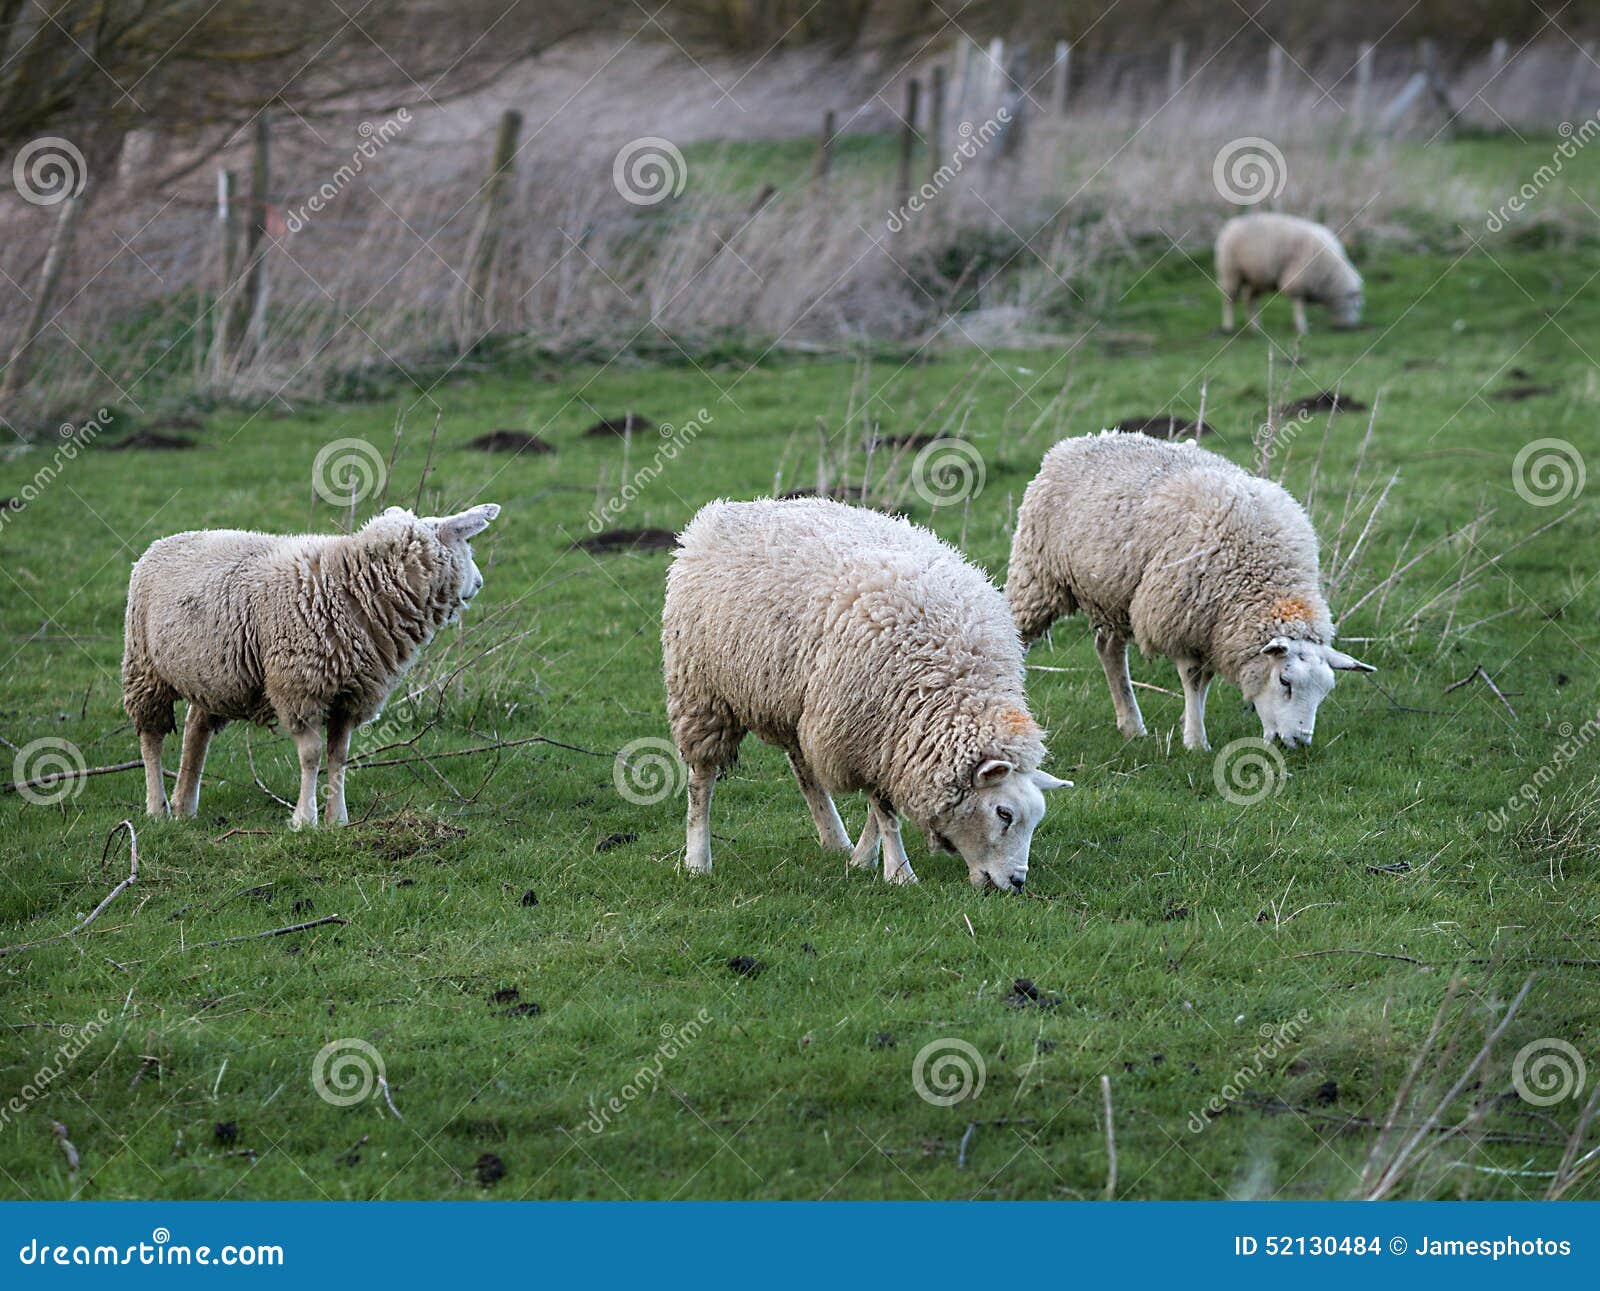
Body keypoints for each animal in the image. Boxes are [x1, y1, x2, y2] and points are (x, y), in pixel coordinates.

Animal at [122, 504, 500, 828]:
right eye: (465, 544)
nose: (481, 582)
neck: (355, 586)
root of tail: (162, 542)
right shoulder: (300, 689)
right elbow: (312, 755)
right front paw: (306, 819)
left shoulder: (351, 694)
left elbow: (339, 755)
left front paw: (338, 818)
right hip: (144, 666)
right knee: (151, 737)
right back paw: (157, 806)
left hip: (214, 674)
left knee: (195, 730)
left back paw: (184, 805)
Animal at [662, 497, 1070, 890]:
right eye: (1004, 813)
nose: (1017, 883)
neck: (958, 678)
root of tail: (727, 510)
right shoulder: (868, 731)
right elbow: (884, 809)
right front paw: (900, 874)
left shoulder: (890, 739)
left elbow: (880, 805)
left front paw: (863, 859)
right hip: (702, 693)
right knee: (701, 781)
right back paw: (697, 861)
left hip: (795, 700)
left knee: (803, 768)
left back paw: (834, 838)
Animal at [1006, 433, 1373, 751]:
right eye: (1285, 682)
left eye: (1324, 692)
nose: (1297, 743)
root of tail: (1078, 441)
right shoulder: (1183, 618)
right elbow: (1195, 679)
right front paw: (1196, 741)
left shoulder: (1212, 626)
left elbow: (1204, 680)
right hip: (1038, 576)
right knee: (1018, 638)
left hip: (1115, 592)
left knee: (1109, 649)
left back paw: (1132, 725)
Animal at [1215, 213, 1363, 336]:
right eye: (1356, 307)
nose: (1350, 327)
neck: (1330, 276)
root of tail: (1230, 225)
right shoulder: (1297, 280)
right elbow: (1299, 306)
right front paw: (1303, 328)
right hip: (1231, 272)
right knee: (1228, 300)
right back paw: (1228, 326)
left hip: (1257, 278)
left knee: (1250, 299)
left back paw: (1256, 327)